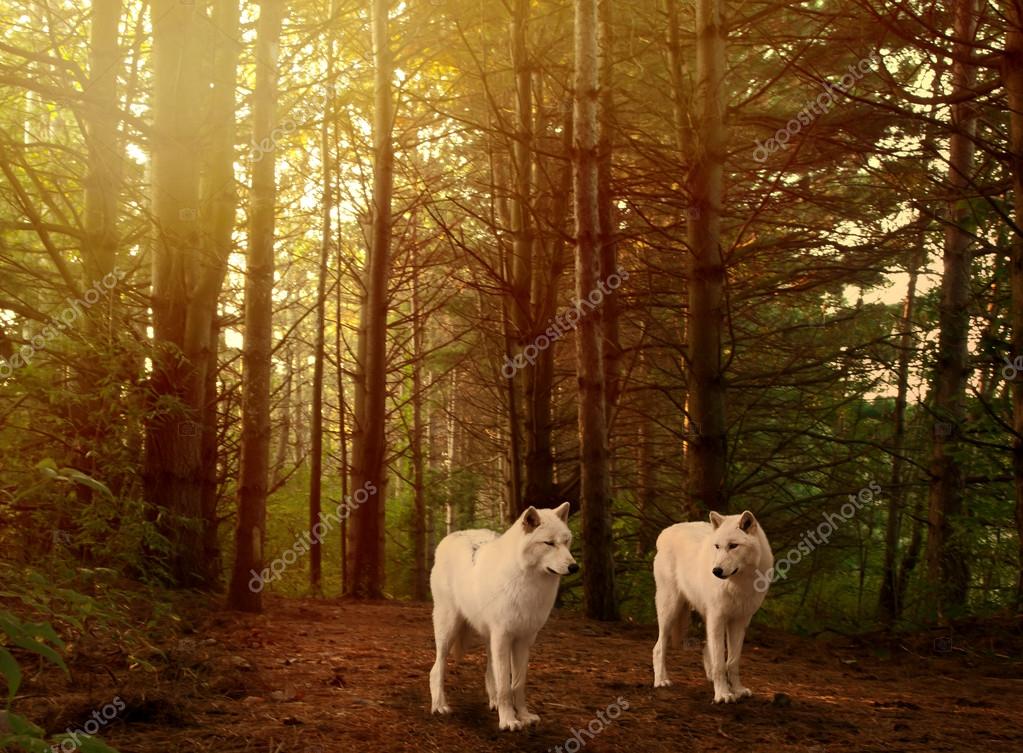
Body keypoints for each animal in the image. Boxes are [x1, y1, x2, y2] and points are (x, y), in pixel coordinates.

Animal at [429, 503, 578, 730]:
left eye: (566, 541)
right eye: (549, 543)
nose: (574, 567)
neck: (527, 584)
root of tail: (452, 536)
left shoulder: (523, 641)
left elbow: (517, 684)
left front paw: (523, 716)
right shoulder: (503, 637)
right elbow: (505, 687)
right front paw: (508, 720)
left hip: (488, 638)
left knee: (490, 672)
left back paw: (493, 703)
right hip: (449, 629)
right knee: (437, 669)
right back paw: (439, 706)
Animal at [651, 510, 773, 703]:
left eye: (733, 546)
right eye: (717, 546)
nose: (716, 571)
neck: (739, 583)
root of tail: (666, 532)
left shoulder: (739, 621)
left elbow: (732, 661)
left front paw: (737, 690)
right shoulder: (718, 617)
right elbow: (720, 663)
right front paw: (723, 694)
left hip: (702, 614)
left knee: (706, 648)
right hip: (670, 609)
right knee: (658, 647)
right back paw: (661, 681)